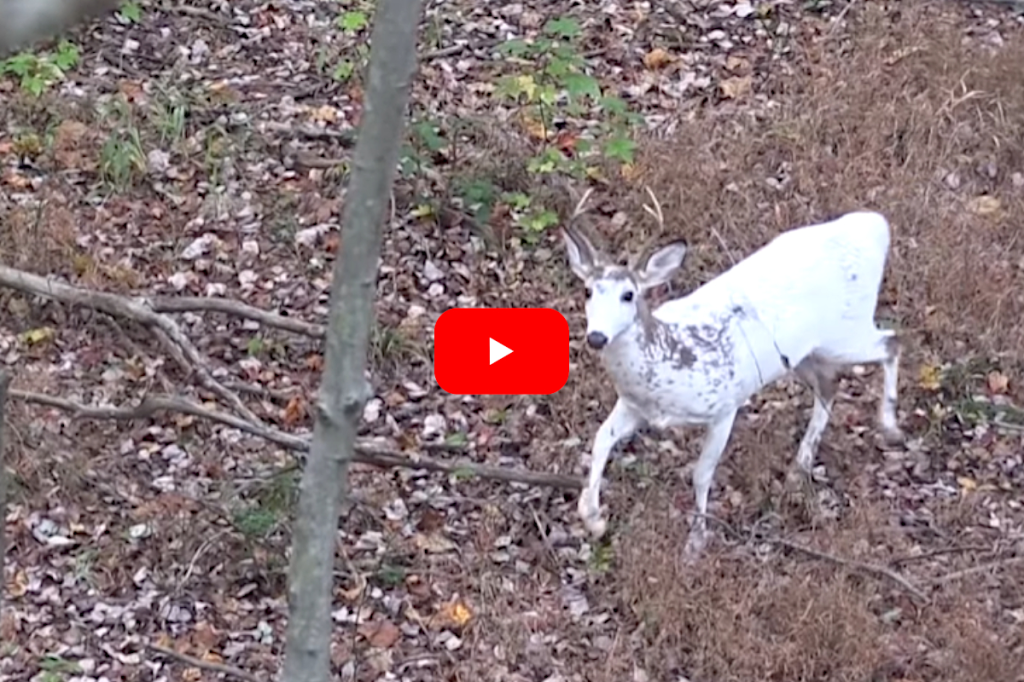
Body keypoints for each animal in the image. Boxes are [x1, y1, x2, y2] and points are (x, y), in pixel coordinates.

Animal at [561, 187, 905, 558]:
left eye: (628, 295)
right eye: (587, 291)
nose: (597, 337)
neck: (669, 362)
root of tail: (876, 227)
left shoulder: (725, 405)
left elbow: (701, 473)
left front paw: (696, 541)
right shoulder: (633, 405)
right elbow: (599, 440)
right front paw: (593, 516)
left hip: (845, 332)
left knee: (891, 342)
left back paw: (889, 426)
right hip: (803, 353)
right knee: (830, 385)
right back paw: (800, 466)